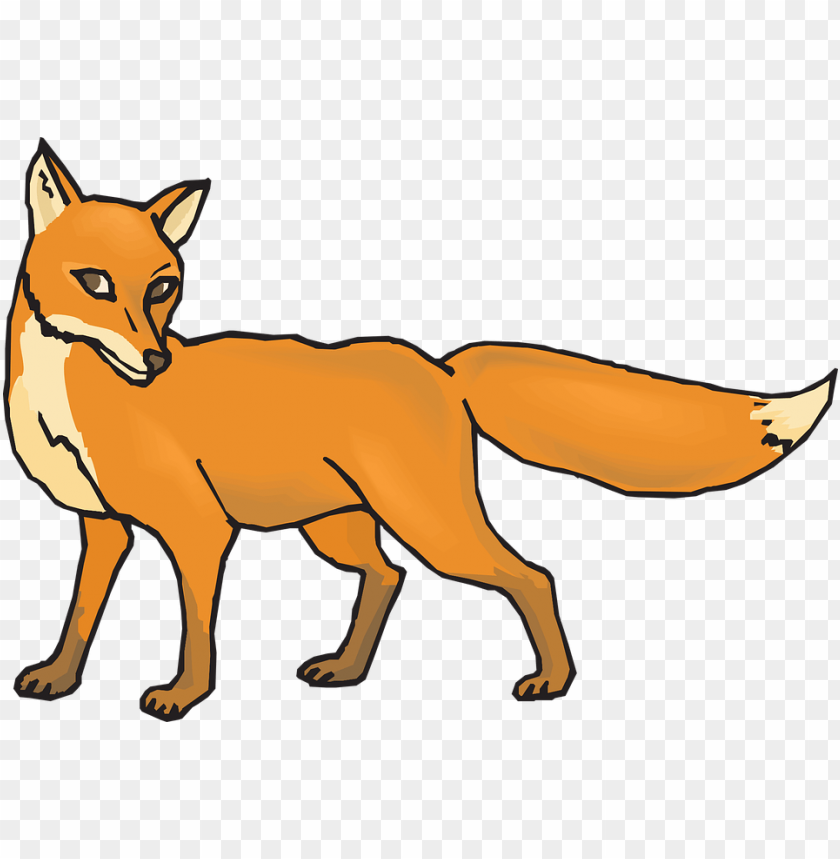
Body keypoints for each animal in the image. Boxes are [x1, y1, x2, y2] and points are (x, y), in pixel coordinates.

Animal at [6, 140, 836, 721]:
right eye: (95, 281)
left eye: (163, 286)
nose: (155, 361)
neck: (63, 400)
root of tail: (439, 365)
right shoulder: (102, 526)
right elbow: (79, 615)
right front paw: (57, 678)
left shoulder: (198, 528)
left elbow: (194, 628)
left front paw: (184, 695)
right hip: (338, 526)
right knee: (387, 576)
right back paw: (347, 669)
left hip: (430, 522)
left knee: (529, 575)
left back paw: (553, 680)